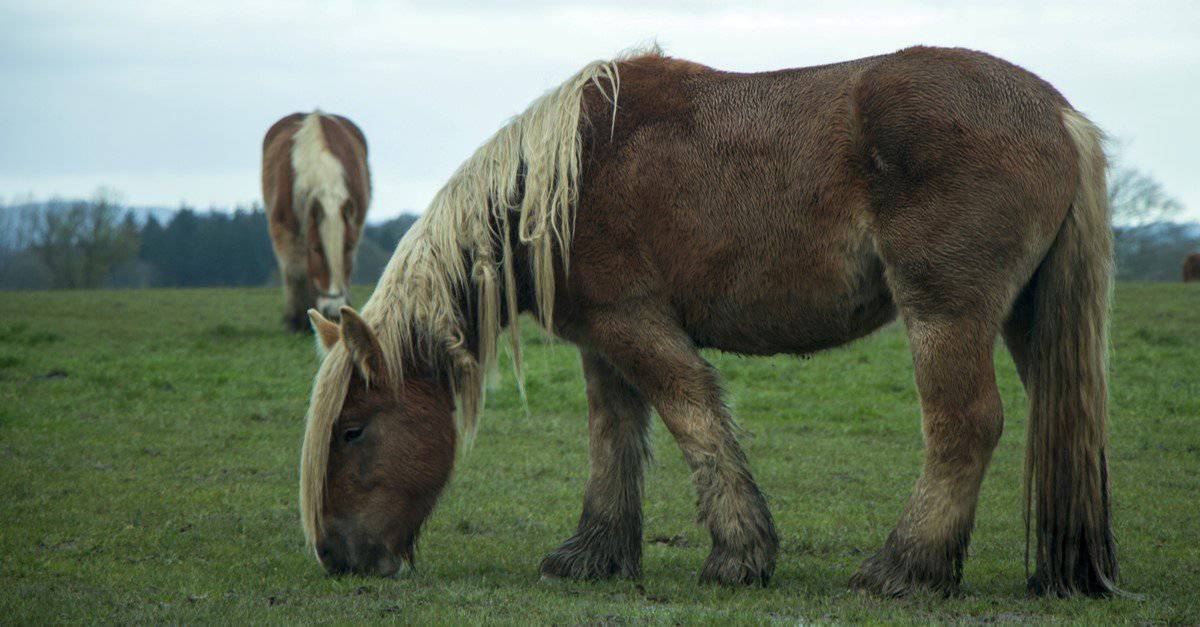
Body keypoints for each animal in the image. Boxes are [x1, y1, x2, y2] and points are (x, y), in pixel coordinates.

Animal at [262, 111, 371, 330]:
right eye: (316, 248)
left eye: (348, 247)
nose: (333, 311)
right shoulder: (284, 231)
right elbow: (295, 270)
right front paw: (295, 320)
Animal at [299, 45, 1119, 598]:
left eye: (353, 431)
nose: (337, 557)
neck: (568, 177)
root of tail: (1057, 113)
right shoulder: (603, 343)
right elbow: (613, 440)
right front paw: (594, 554)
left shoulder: (636, 326)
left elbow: (693, 417)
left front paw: (739, 555)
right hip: (1024, 317)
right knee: (1063, 418)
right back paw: (1066, 568)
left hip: (945, 312)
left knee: (965, 427)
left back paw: (905, 567)